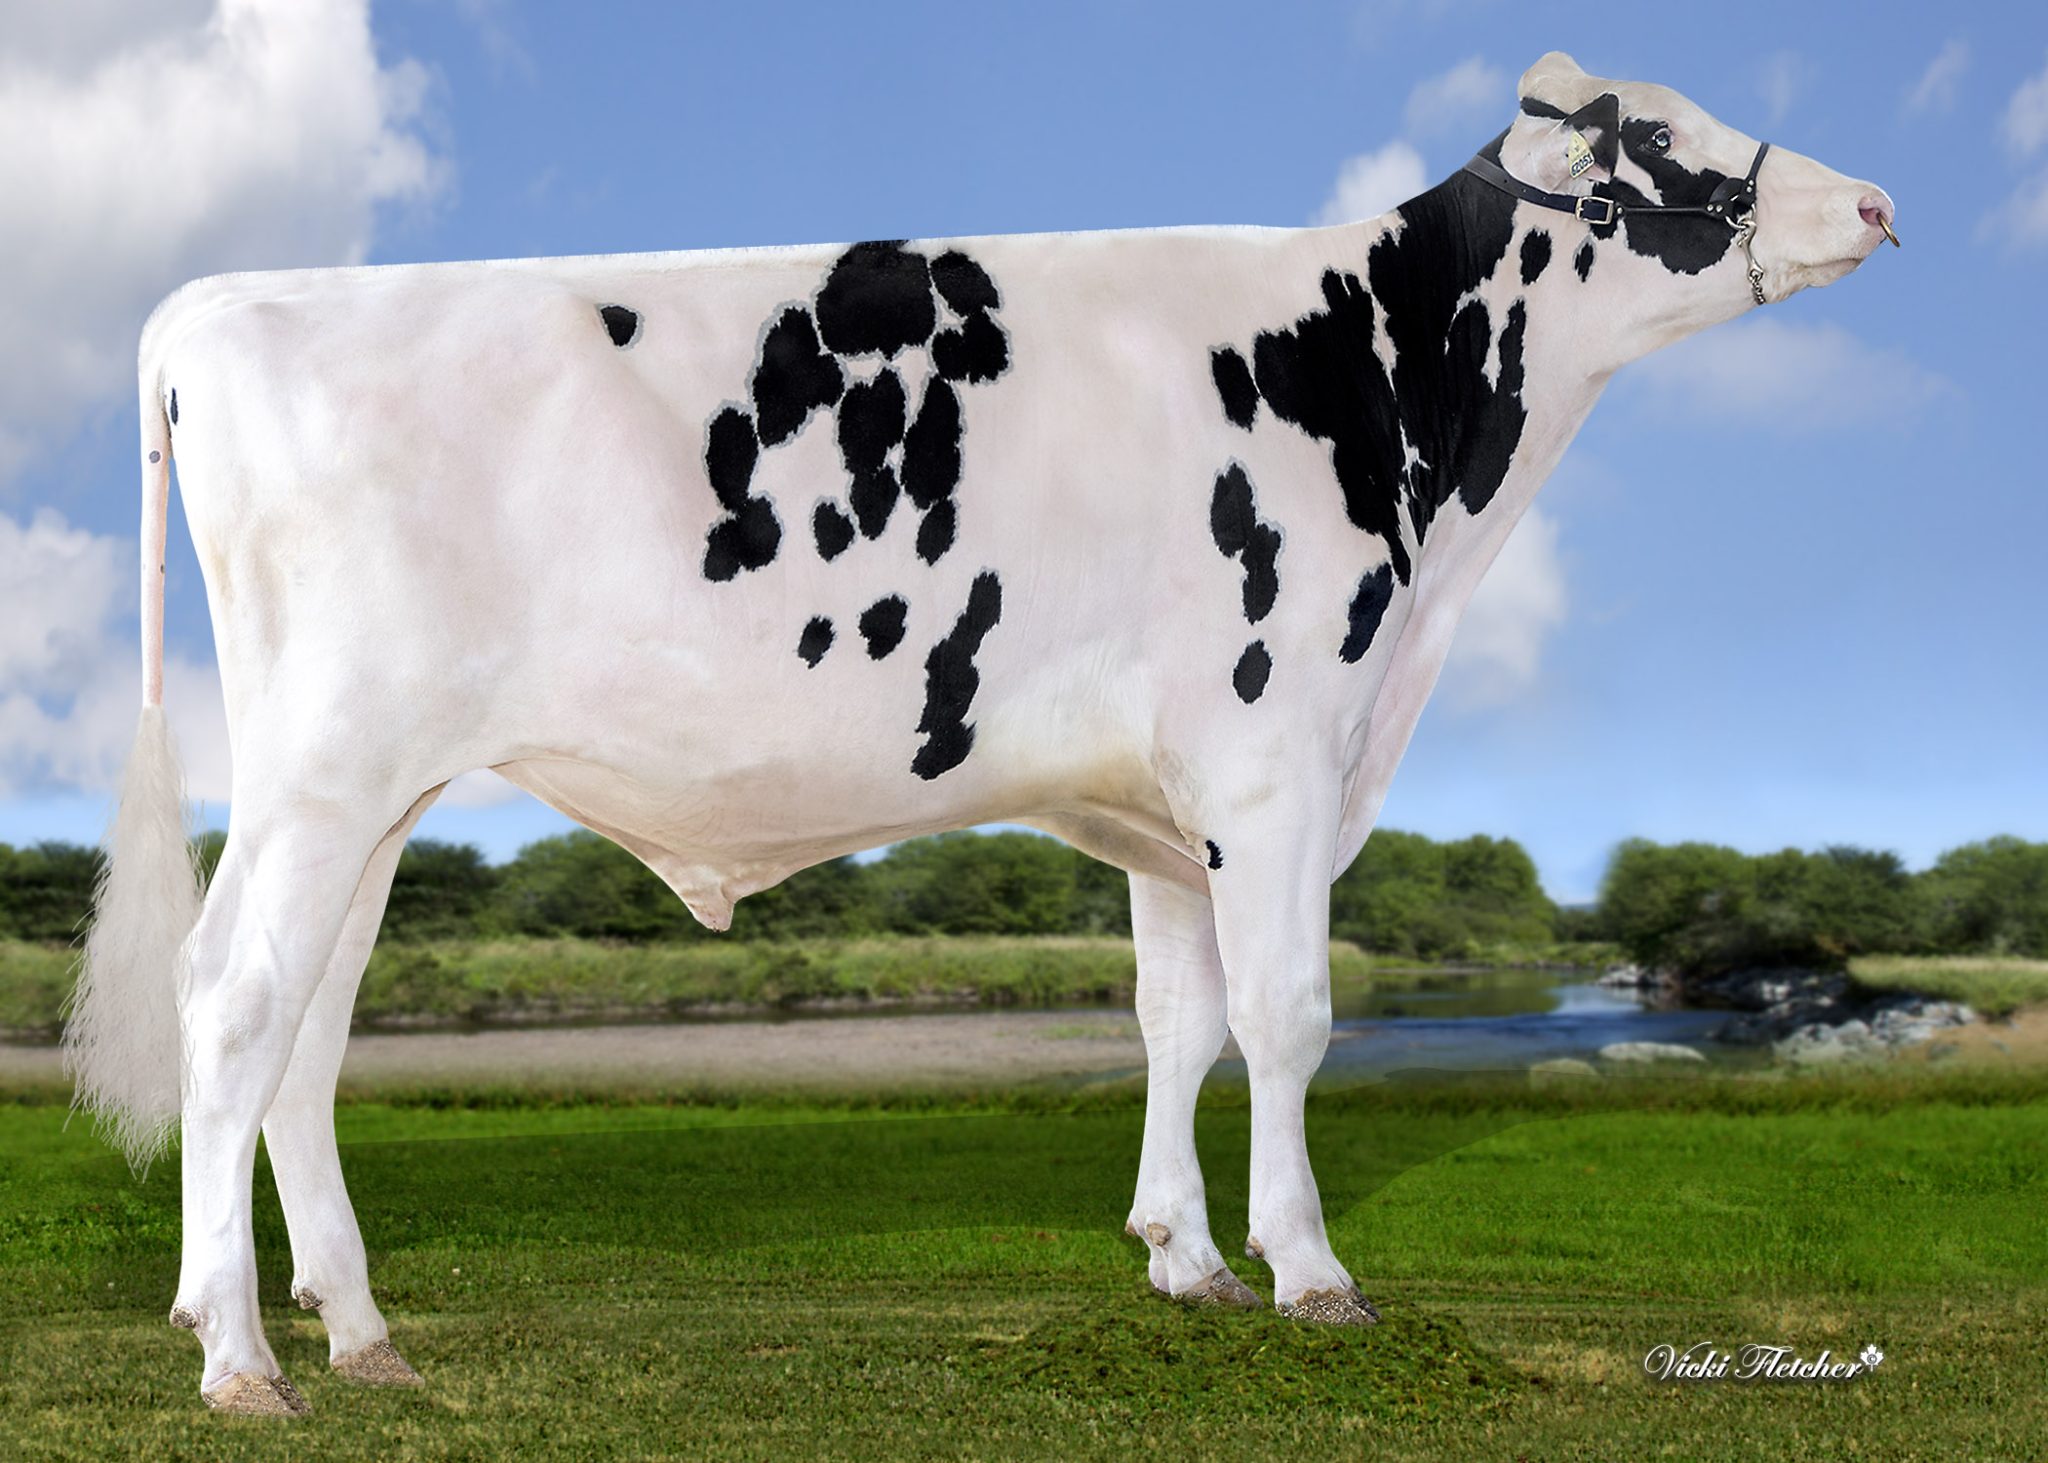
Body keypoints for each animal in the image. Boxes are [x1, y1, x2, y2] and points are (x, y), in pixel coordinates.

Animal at [64, 52, 1895, 1414]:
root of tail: (214, 306)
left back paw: (360, 1333)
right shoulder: (1274, 754)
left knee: (305, 1028)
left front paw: (1185, 1258)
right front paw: (1311, 1274)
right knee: (232, 999)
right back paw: (239, 1355)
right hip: (326, 769)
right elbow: (1289, 1017)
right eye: (1658, 134)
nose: (1874, 201)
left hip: (372, 792)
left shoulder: (1168, 804)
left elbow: (1177, 1021)